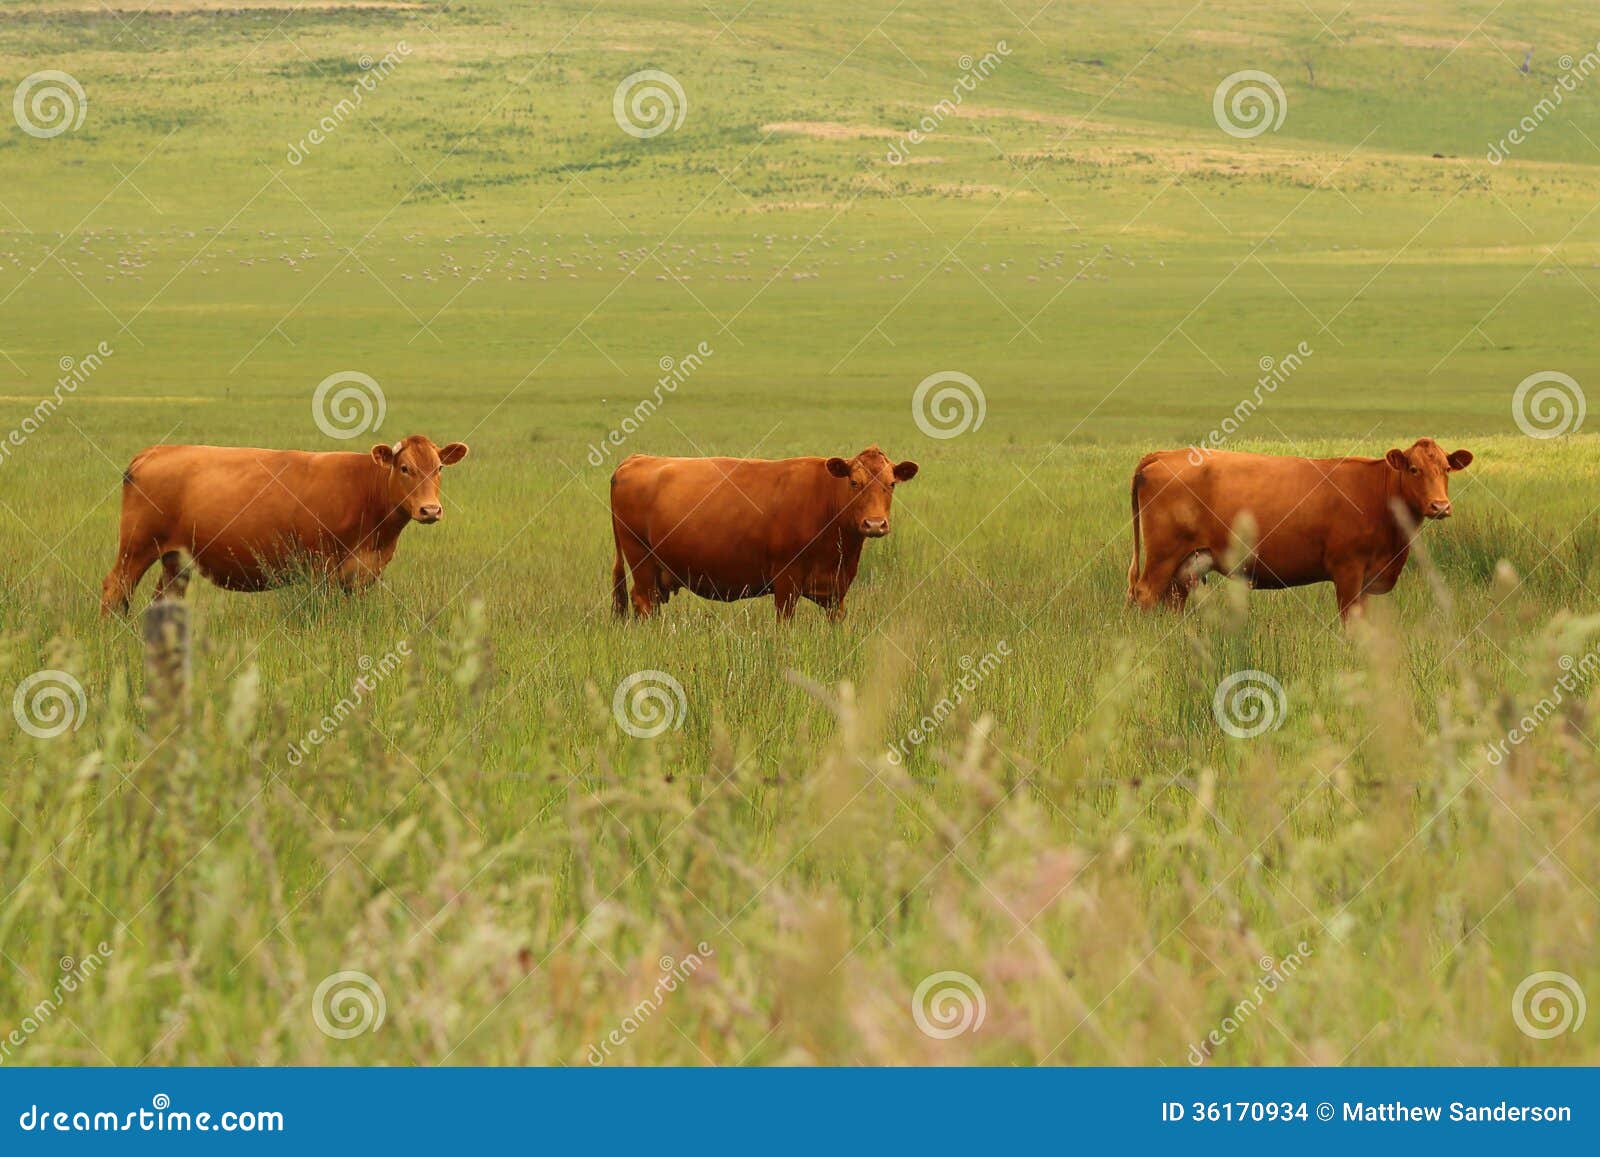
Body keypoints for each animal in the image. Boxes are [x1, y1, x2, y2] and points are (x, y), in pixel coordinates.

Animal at [100, 434, 469, 614]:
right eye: (405, 468)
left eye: (438, 468)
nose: (430, 509)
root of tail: (155, 451)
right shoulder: (321, 568)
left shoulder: (362, 573)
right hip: (136, 547)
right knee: (115, 588)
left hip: (176, 559)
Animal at [609, 445, 919, 621]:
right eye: (854, 482)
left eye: (891, 484)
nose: (875, 524)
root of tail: (636, 459)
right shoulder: (786, 579)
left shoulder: (836, 590)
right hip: (640, 557)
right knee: (643, 601)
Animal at [1127, 438, 1473, 620]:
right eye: (1414, 469)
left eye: (1446, 469)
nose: (1440, 506)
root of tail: (1165, 454)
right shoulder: (1348, 569)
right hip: (1162, 555)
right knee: (1145, 594)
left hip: (1187, 563)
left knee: (1172, 600)